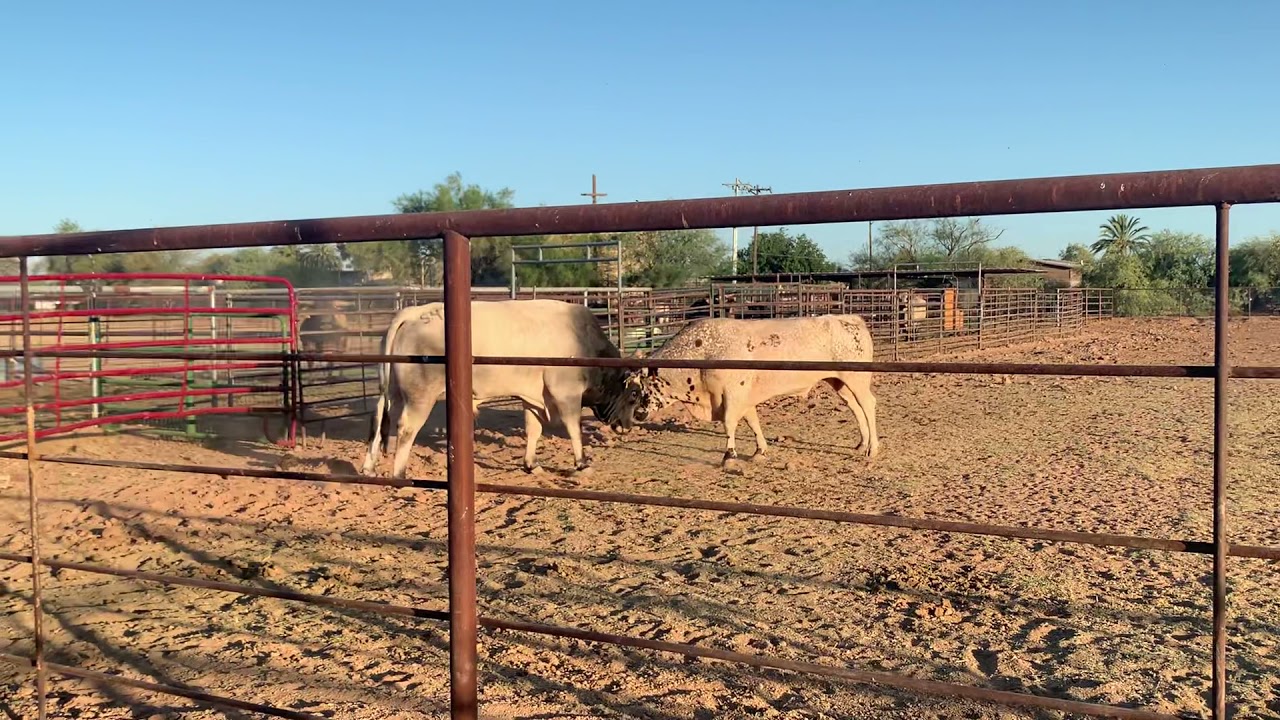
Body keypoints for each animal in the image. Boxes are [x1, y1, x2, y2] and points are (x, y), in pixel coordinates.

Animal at [360, 299, 633, 478]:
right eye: (633, 395)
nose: (628, 426)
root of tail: (416, 312)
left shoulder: (532, 396)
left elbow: (533, 429)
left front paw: (531, 463)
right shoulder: (565, 393)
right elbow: (574, 428)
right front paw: (582, 463)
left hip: (393, 392)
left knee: (378, 418)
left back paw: (368, 467)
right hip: (420, 396)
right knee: (406, 428)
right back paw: (400, 474)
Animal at [614, 314, 880, 466]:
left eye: (640, 388)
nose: (637, 415)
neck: (702, 352)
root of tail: (852, 320)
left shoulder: (733, 394)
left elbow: (730, 423)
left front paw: (729, 455)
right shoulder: (743, 397)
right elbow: (752, 421)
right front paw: (759, 450)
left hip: (856, 379)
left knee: (868, 405)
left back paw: (872, 449)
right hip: (840, 382)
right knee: (855, 408)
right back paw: (862, 443)